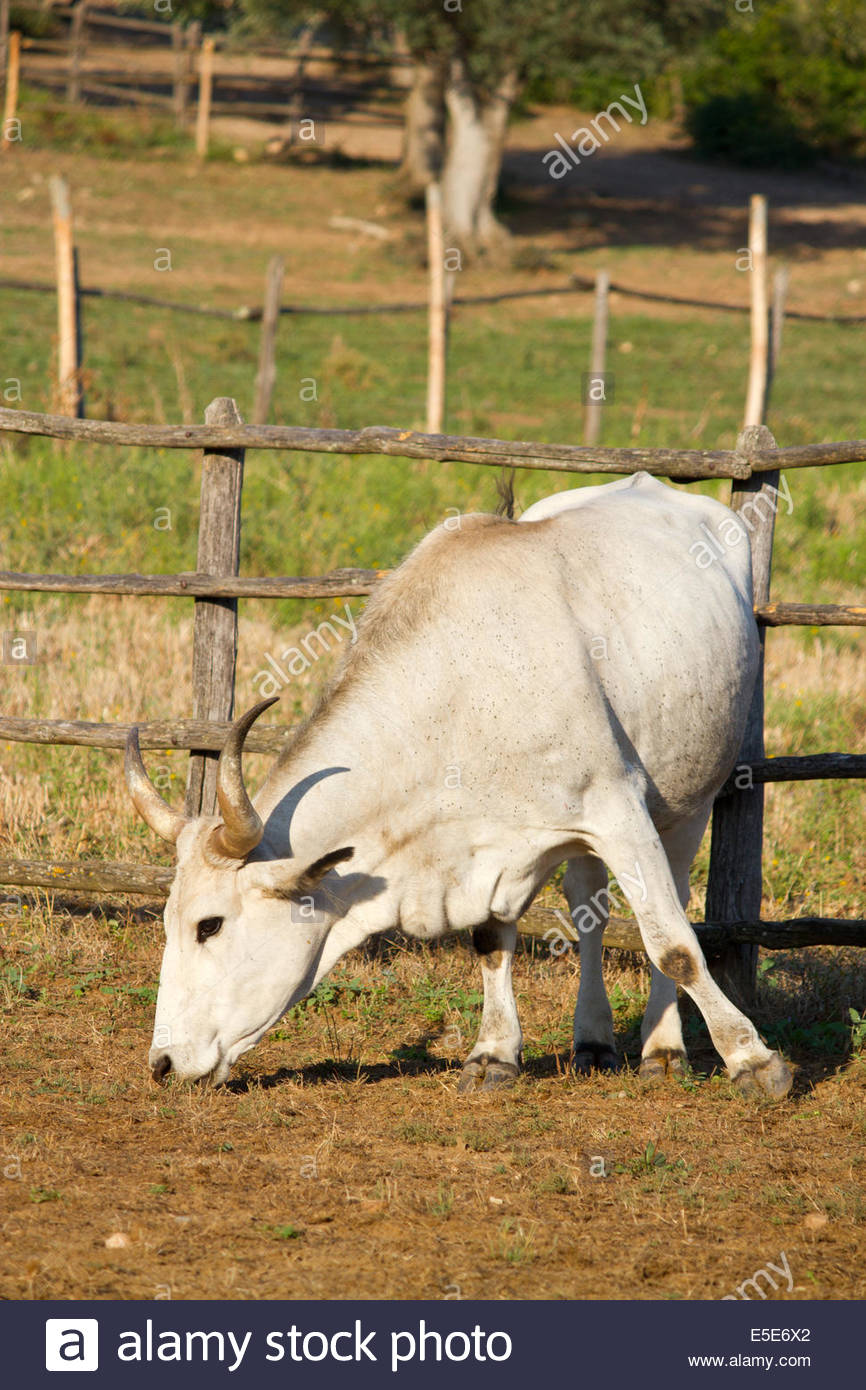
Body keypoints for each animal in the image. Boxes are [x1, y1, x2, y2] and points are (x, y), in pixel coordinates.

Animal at [125, 472, 793, 1099]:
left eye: (209, 925)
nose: (161, 1063)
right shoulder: (497, 846)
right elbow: (492, 940)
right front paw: (494, 1055)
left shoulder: (617, 811)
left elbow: (674, 945)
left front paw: (753, 1061)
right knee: (590, 912)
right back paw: (594, 1041)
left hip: (686, 801)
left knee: (672, 901)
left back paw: (664, 1050)